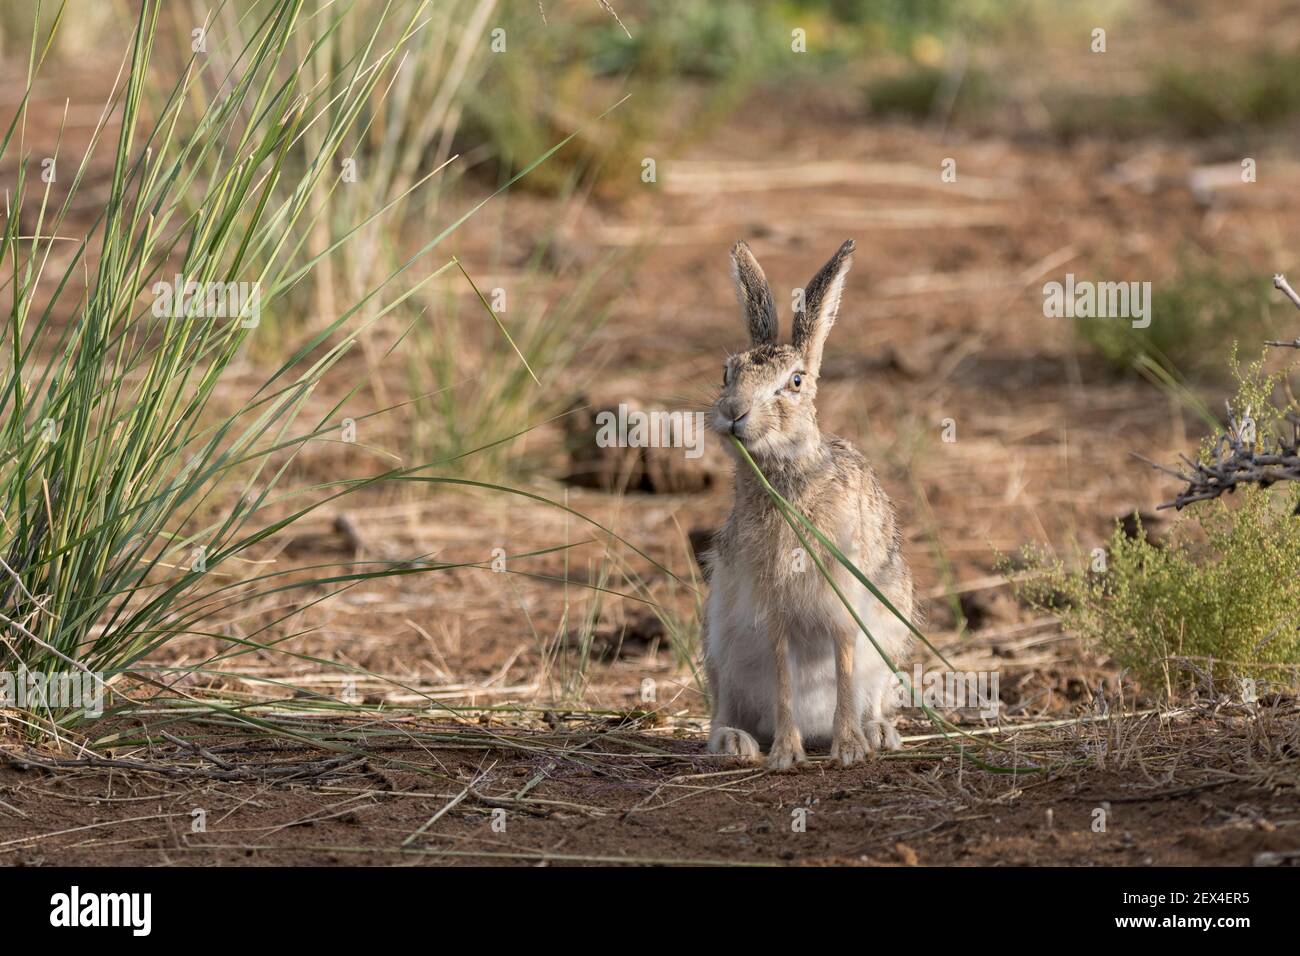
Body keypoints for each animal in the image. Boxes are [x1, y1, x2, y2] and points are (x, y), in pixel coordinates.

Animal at [703, 239, 915, 770]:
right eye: (727, 373)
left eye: (795, 382)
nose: (733, 412)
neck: (786, 478)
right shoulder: (773, 612)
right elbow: (781, 677)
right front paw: (784, 754)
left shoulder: (845, 604)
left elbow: (843, 665)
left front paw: (849, 748)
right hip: (719, 635)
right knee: (724, 701)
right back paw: (733, 740)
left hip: (891, 627)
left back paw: (877, 731)